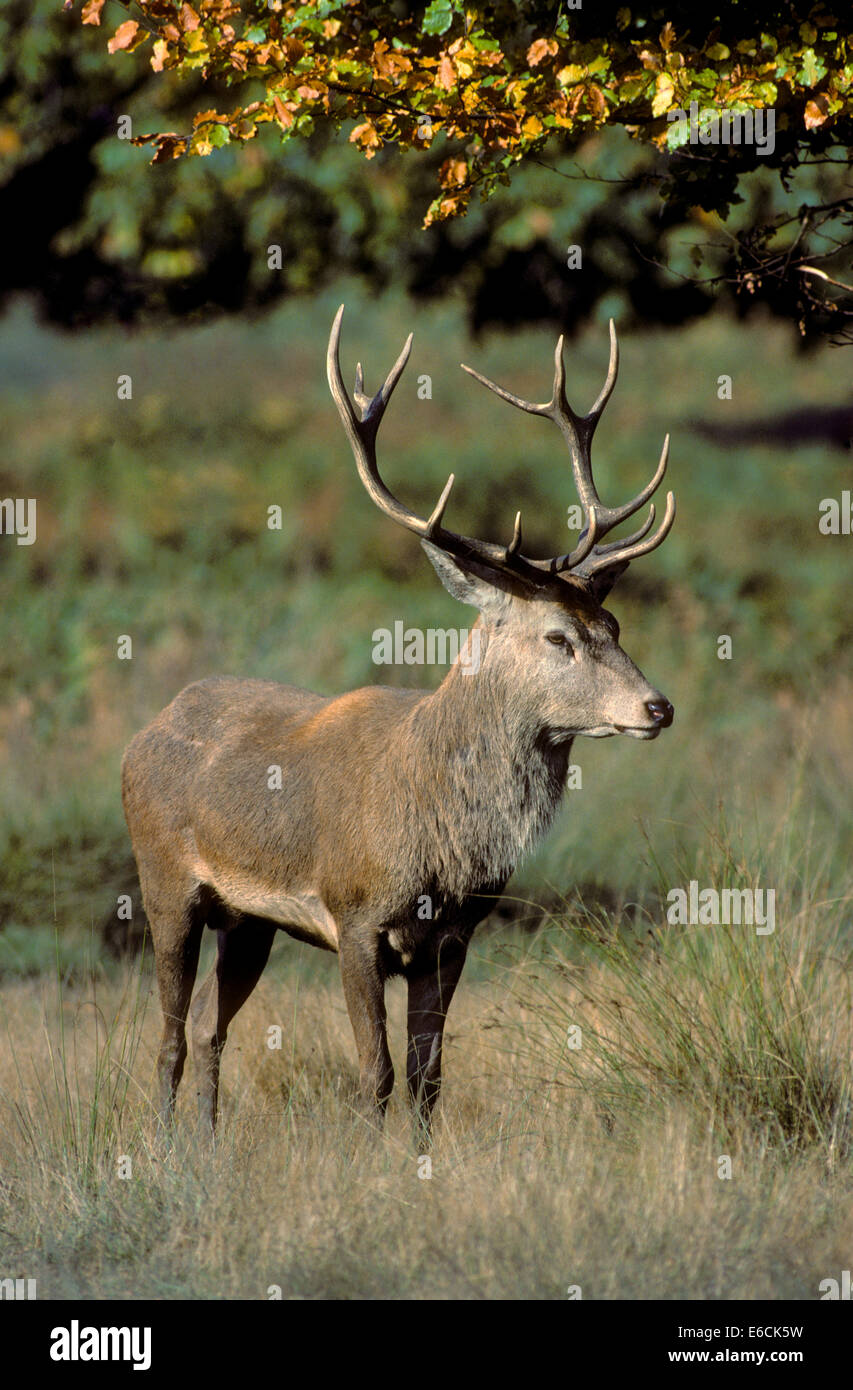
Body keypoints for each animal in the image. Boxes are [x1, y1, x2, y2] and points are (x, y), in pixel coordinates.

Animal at [121, 305, 675, 1138]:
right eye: (558, 636)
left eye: (612, 623)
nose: (656, 706)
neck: (437, 834)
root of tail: (148, 727)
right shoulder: (353, 916)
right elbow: (376, 1074)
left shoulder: (453, 935)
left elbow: (428, 1078)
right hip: (164, 880)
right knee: (169, 1036)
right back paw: (162, 1148)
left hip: (247, 921)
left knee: (213, 1027)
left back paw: (206, 1146)